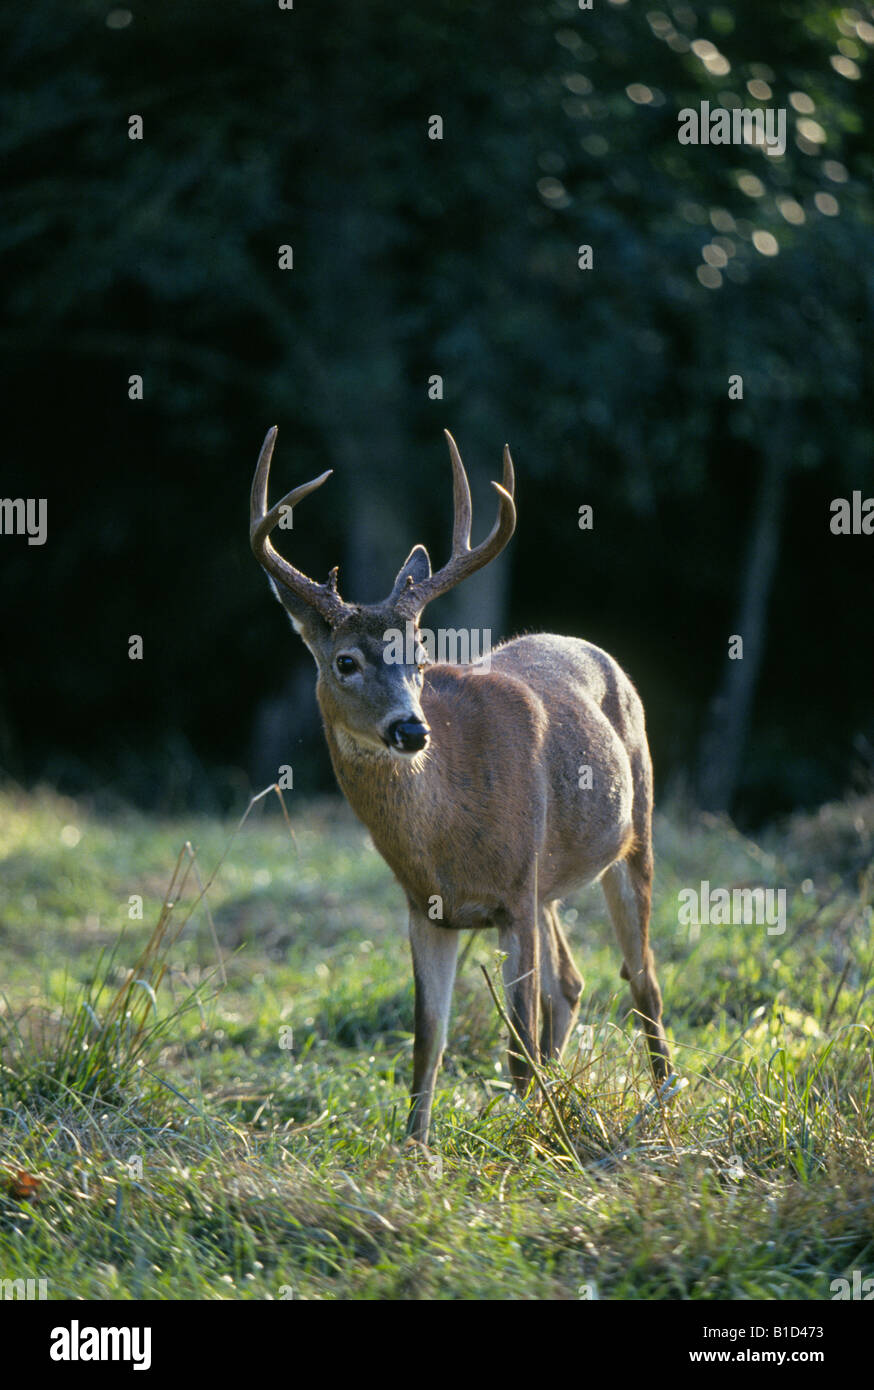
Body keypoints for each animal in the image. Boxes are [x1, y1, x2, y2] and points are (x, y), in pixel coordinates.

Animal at [250, 425, 672, 1144]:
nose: (411, 730)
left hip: (631, 831)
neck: (445, 835)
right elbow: (429, 1039)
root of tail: (599, 652)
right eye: (346, 662)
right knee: (571, 982)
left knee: (641, 975)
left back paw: (660, 1102)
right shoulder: (427, 907)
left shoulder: (515, 897)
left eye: (418, 659)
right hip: (549, 879)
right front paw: (416, 1146)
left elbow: (516, 1040)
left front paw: (525, 1138)